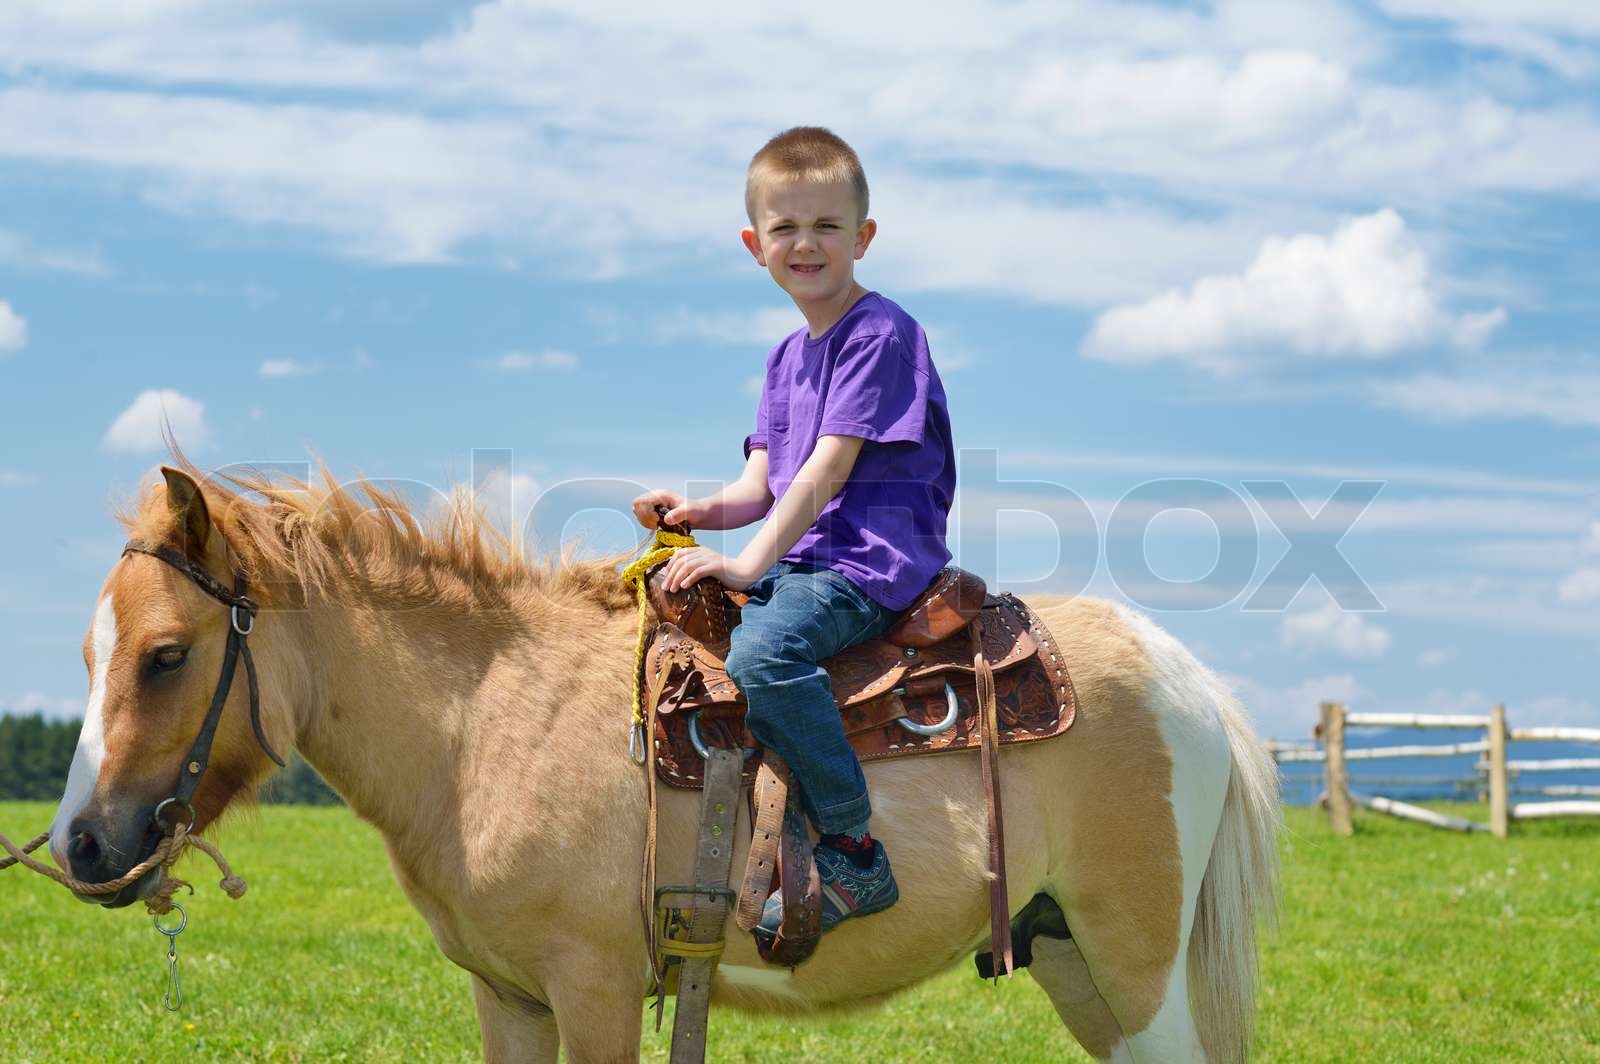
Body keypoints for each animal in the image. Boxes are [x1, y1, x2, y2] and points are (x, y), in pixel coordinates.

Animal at [47, 461, 1279, 1063]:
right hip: (1072, 960)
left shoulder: (592, 989)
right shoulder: (510, 998)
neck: (484, 716)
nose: (80, 845)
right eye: (89, 653)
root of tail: (1189, 679)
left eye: (166, 655)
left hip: (1137, 966)